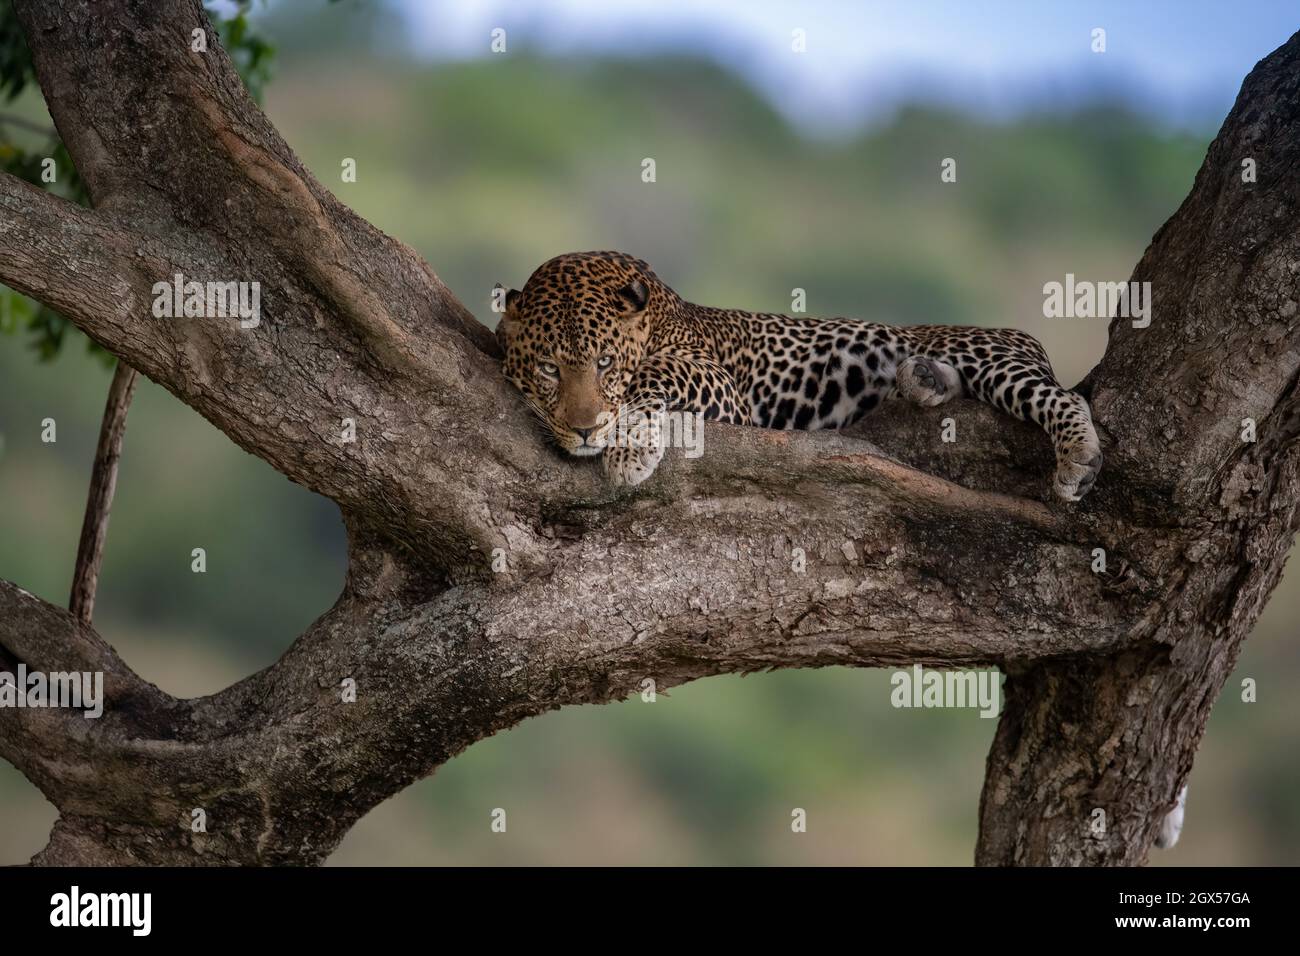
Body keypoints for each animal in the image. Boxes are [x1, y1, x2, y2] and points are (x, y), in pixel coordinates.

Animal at [497, 250, 1102, 502]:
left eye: (604, 363)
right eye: (550, 368)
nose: (584, 430)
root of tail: (1026, 337)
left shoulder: (723, 390)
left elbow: (653, 370)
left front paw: (628, 449)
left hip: (989, 353)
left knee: (1062, 397)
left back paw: (1079, 458)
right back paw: (925, 380)